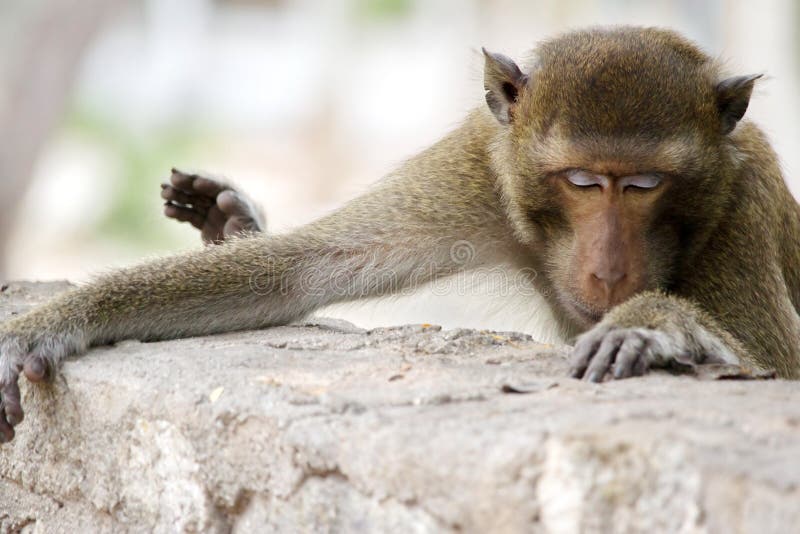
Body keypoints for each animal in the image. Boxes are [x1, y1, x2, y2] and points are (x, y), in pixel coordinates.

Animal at [1, 26, 798, 444]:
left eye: (643, 186)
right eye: (581, 182)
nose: (610, 271)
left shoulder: (741, 200)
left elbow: (778, 363)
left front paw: (651, 322)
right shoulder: (478, 164)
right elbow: (294, 270)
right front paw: (50, 323)